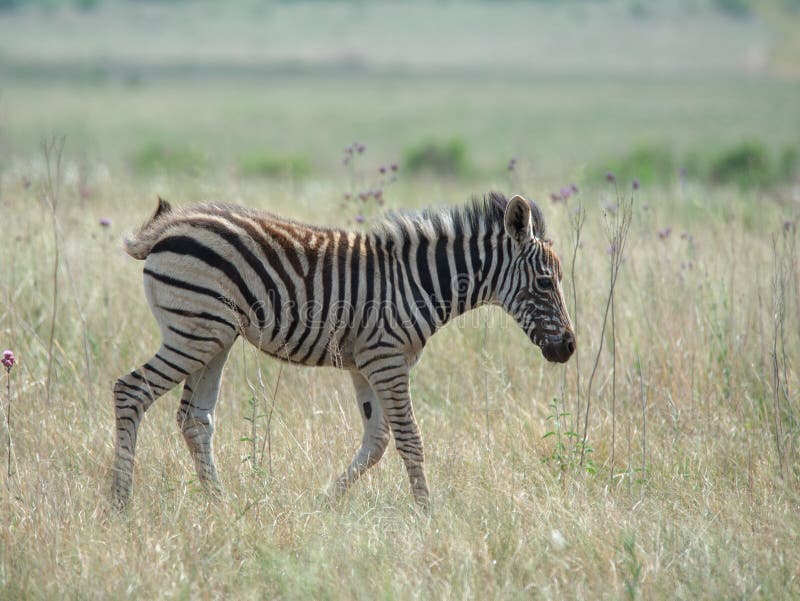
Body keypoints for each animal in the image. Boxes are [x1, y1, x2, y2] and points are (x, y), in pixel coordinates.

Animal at [111, 192, 575, 508]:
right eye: (545, 282)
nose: (569, 348)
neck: (419, 282)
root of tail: (167, 228)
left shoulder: (365, 364)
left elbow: (377, 440)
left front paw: (325, 501)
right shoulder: (386, 359)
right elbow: (410, 439)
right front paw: (426, 513)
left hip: (214, 336)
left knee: (195, 419)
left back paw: (218, 502)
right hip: (194, 331)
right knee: (131, 390)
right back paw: (120, 501)